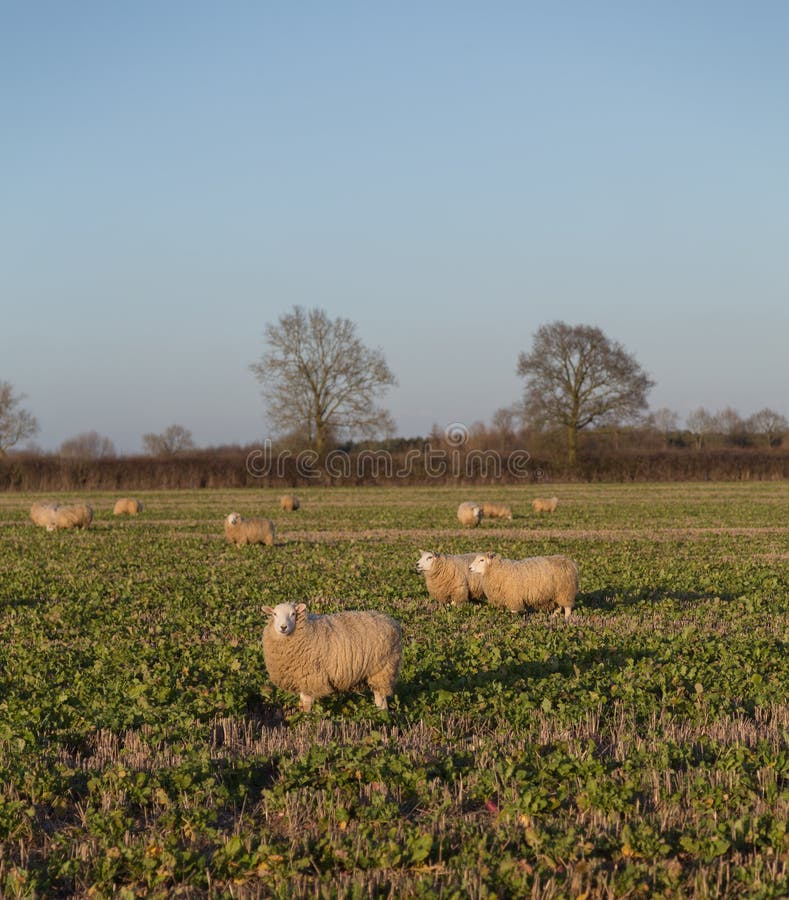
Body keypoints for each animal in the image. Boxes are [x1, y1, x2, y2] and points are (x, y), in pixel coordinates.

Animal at [262, 602, 402, 712]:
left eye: (293, 614)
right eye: (275, 614)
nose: (283, 627)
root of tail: (391, 621)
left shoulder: (310, 677)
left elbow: (306, 704)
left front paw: (306, 719)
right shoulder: (301, 678)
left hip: (382, 669)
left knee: (381, 697)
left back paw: (381, 714)